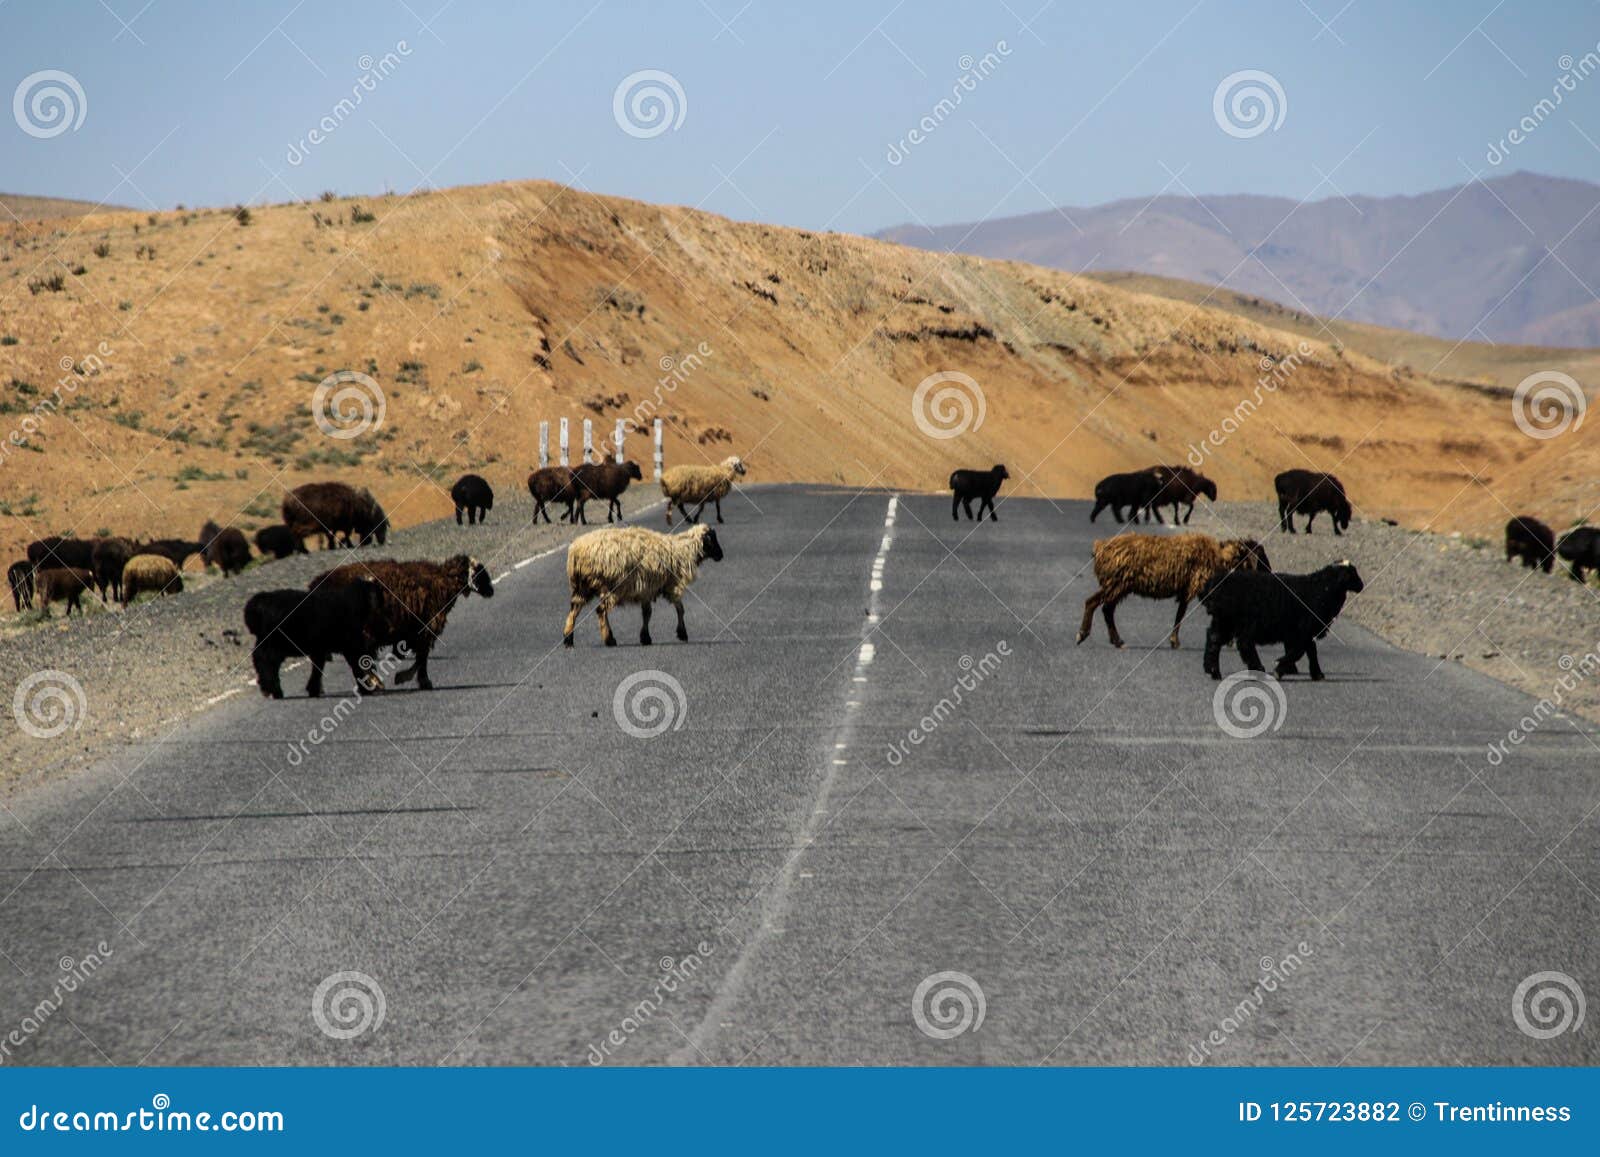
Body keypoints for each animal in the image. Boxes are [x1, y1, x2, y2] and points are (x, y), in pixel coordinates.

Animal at [244, 581, 384, 699]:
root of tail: (256, 606)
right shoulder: (350, 645)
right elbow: (357, 665)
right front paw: (366, 689)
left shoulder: (320, 648)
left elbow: (318, 667)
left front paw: (313, 690)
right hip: (274, 643)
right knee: (265, 662)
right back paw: (273, 690)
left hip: (267, 641)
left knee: (260, 660)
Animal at [310, 555, 494, 690]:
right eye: (479, 572)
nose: (491, 591)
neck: (442, 581)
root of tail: (315, 584)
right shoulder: (425, 628)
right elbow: (422, 658)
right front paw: (418, 680)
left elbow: (419, 657)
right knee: (355, 659)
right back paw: (372, 684)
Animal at [563, 524, 723, 647]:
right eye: (712, 540)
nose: (721, 555)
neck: (683, 550)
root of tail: (577, 549)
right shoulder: (671, 585)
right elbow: (680, 609)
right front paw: (682, 633)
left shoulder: (646, 589)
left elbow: (647, 613)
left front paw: (645, 637)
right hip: (610, 586)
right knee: (600, 611)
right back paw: (609, 639)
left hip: (581, 586)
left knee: (574, 610)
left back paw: (568, 639)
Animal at [1077, 533, 1271, 649]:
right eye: (1260, 556)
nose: (1270, 573)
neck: (1219, 558)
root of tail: (1099, 548)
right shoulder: (1197, 585)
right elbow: (1184, 615)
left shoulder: (1187, 589)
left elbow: (1179, 614)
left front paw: (1174, 641)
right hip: (1115, 584)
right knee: (1093, 603)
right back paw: (1083, 634)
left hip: (1118, 586)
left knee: (1106, 609)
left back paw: (1116, 641)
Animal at [1200, 561, 1365, 680]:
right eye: (1352, 574)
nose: (1361, 586)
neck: (1321, 589)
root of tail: (1215, 586)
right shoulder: (1303, 630)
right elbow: (1298, 652)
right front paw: (1279, 668)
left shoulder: (1305, 632)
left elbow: (1311, 651)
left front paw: (1317, 674)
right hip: (1238, 621)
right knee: (1243, 643)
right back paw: (1256, 668)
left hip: (1225, 621)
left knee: (1214, 639)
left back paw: (1213, 671)